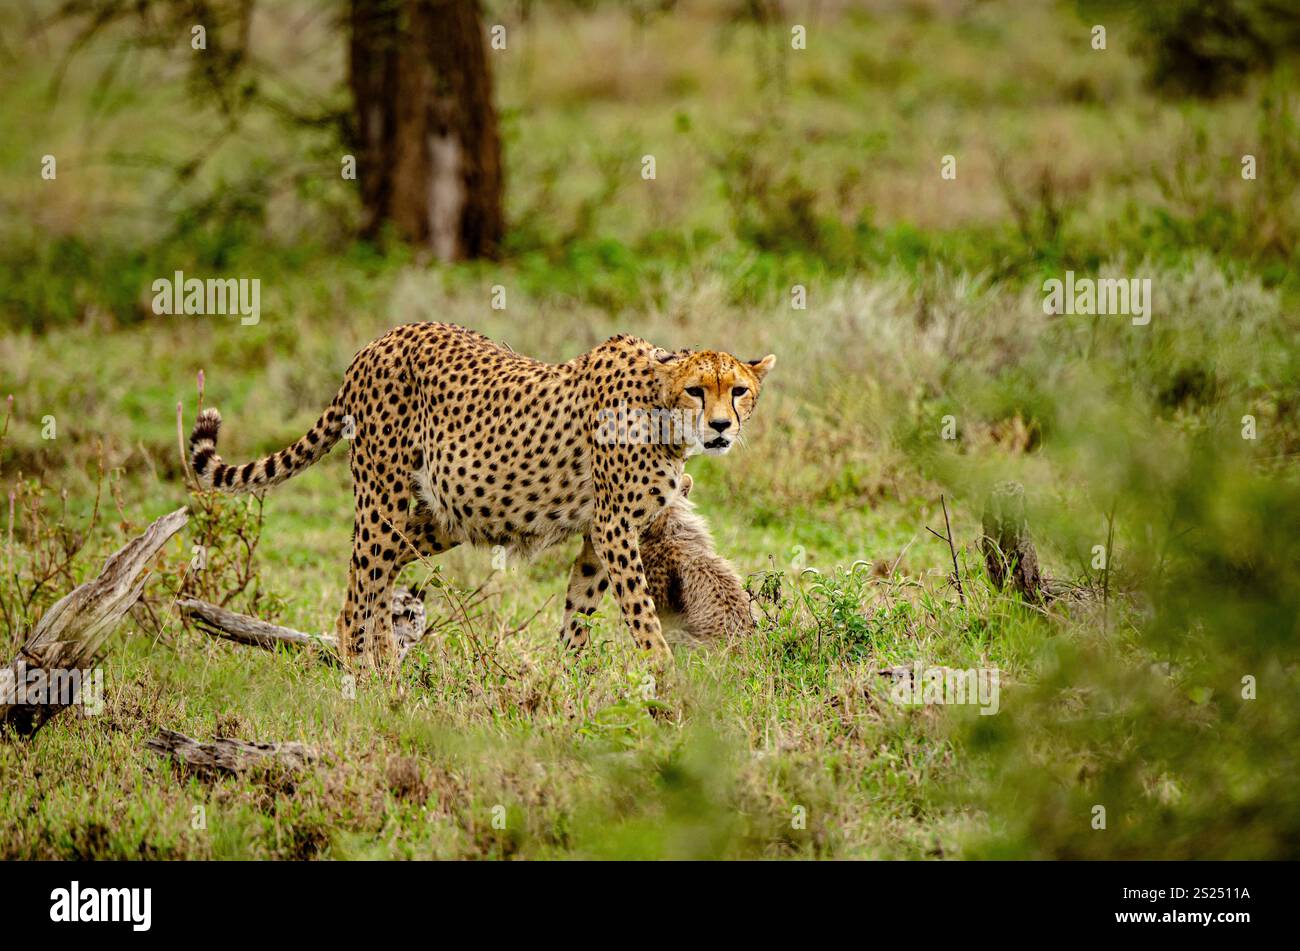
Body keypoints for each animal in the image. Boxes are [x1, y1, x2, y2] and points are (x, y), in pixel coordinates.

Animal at [188, 322, 774, 668]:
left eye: (738, 391)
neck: (661, 408)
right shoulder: (614, 528)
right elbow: (643, 617)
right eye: (696, 390)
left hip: (443, 515)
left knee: (378, 576)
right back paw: (366, 686)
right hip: (382, 497)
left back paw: (386, 664)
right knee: (359, 590)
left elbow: (580, 612)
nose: (721, 426)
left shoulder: (598, 534)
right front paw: (665, 687)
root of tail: (382, 338)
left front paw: (567, 682)